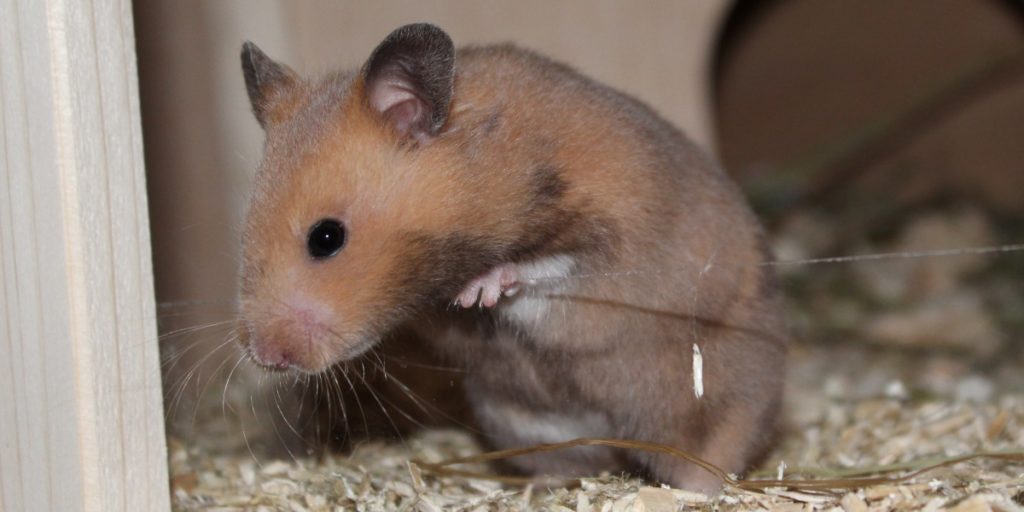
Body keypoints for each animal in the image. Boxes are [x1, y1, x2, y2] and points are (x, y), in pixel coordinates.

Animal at [237, 23, 786, 494]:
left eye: (326, 237)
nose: (266, 357)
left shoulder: (605, 229)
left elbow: (544, 263)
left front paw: (477, 292)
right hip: (521, 423)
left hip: (706, 398)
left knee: (705, 459)